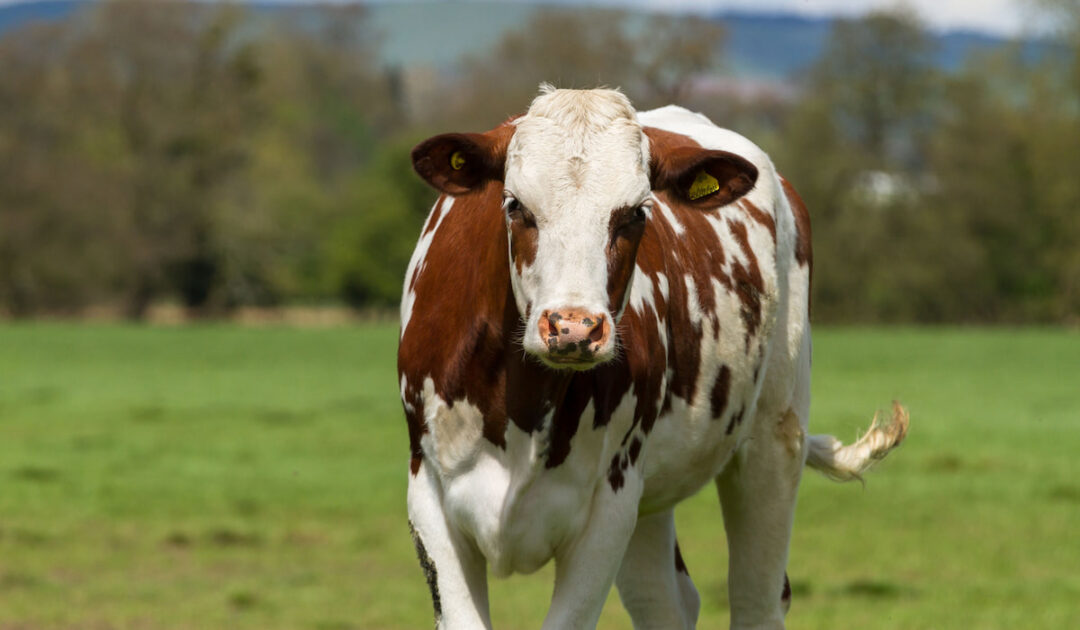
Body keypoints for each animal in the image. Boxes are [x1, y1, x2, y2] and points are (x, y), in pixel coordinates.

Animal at [398, 86, 908, 630]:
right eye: (515, 205)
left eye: (637, 213)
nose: (573, 328)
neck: (521, 407)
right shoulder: (428, 495)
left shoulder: (609, 507)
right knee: (664, 600)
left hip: (774, 440)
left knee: (758, 599)